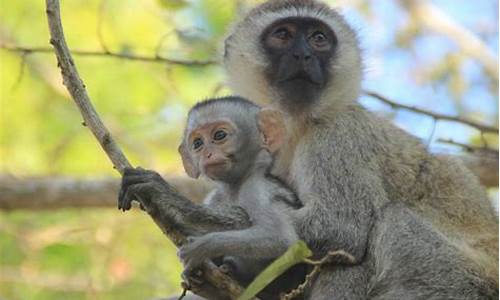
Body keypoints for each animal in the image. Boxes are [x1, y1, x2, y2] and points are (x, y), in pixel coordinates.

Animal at [225, 1, 498, 298]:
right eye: (282, 35)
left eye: (318, 39)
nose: (303, 55)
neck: (294, 126)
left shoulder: (338, 133)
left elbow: (341, 227)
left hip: (457, 280)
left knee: (387, 222)